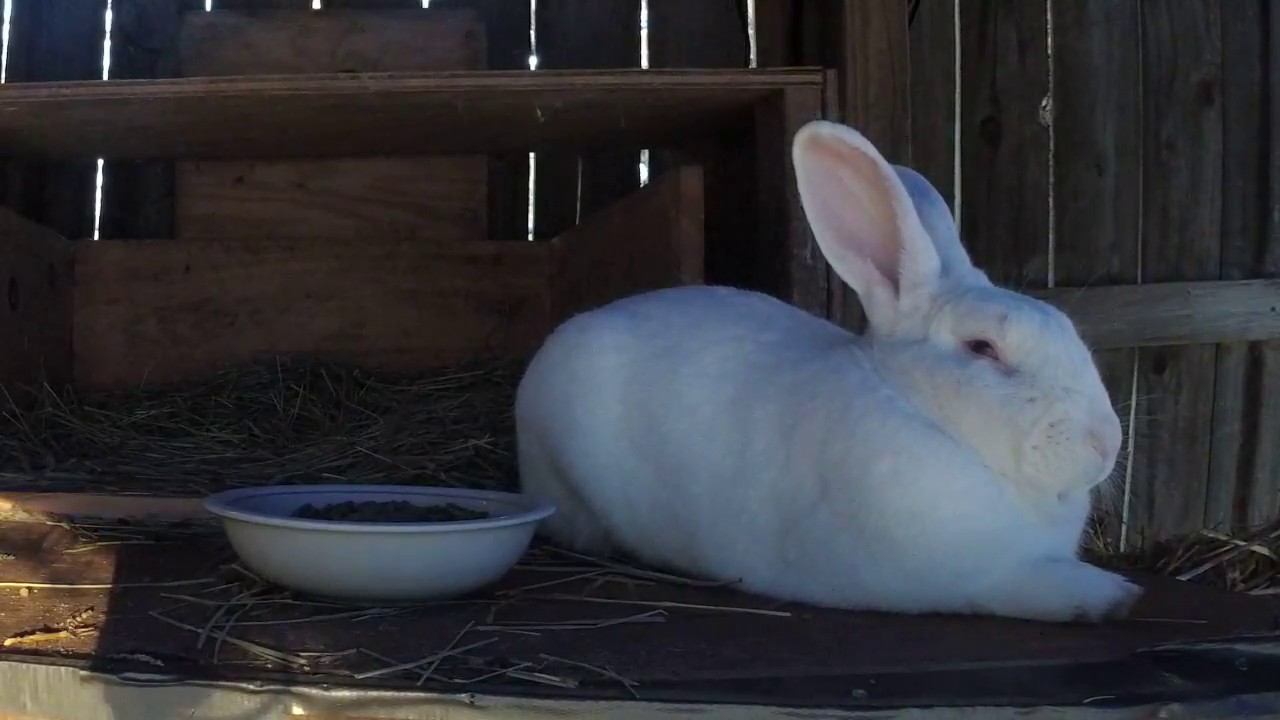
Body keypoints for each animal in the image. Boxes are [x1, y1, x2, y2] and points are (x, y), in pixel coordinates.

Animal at [513, 119, 1140, 623]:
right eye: (983, 347)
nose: (1106, 443)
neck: (920, 411)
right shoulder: (973, 577)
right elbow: (1037, 584)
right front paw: (1117, 595)